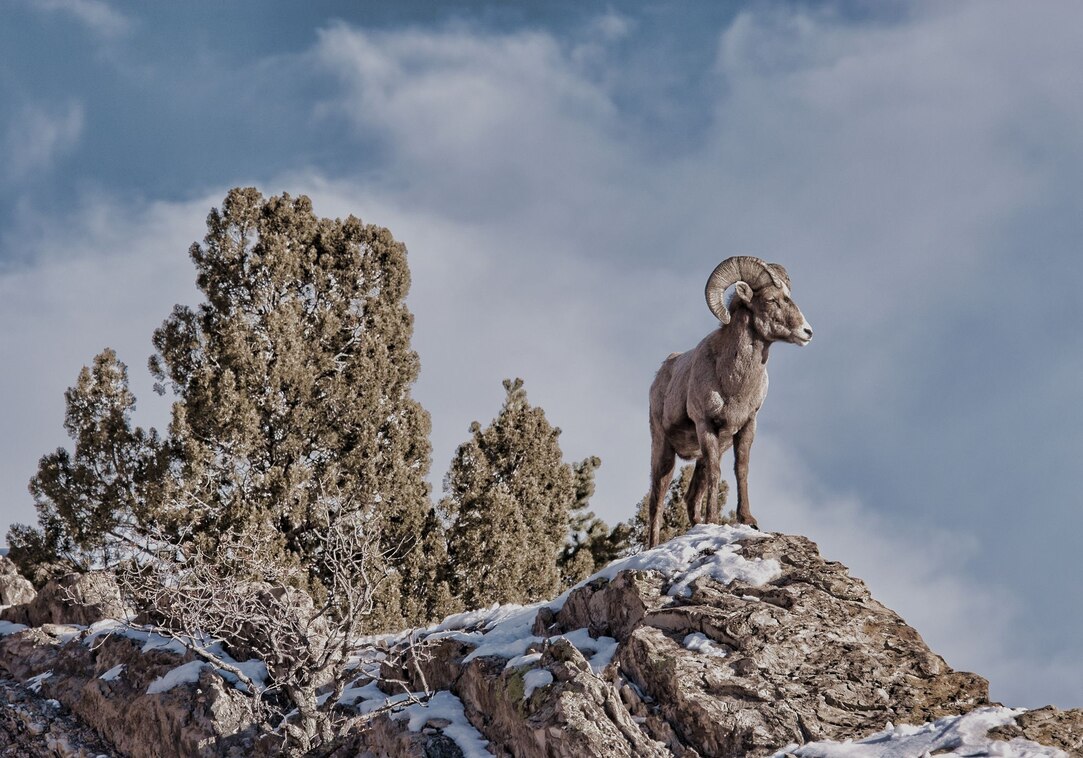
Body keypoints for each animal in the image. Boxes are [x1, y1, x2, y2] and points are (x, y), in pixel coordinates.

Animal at [646, 256, 812, 548]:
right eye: (771, 299)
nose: (807, 332)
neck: (735, 383)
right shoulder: (706, 426)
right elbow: (716, 473)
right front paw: (714, 519)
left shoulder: (746, 426)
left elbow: (740, 469)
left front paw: (747, 519)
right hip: (663, 448)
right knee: (657, 499)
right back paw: (653, 546)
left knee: (691, 497)